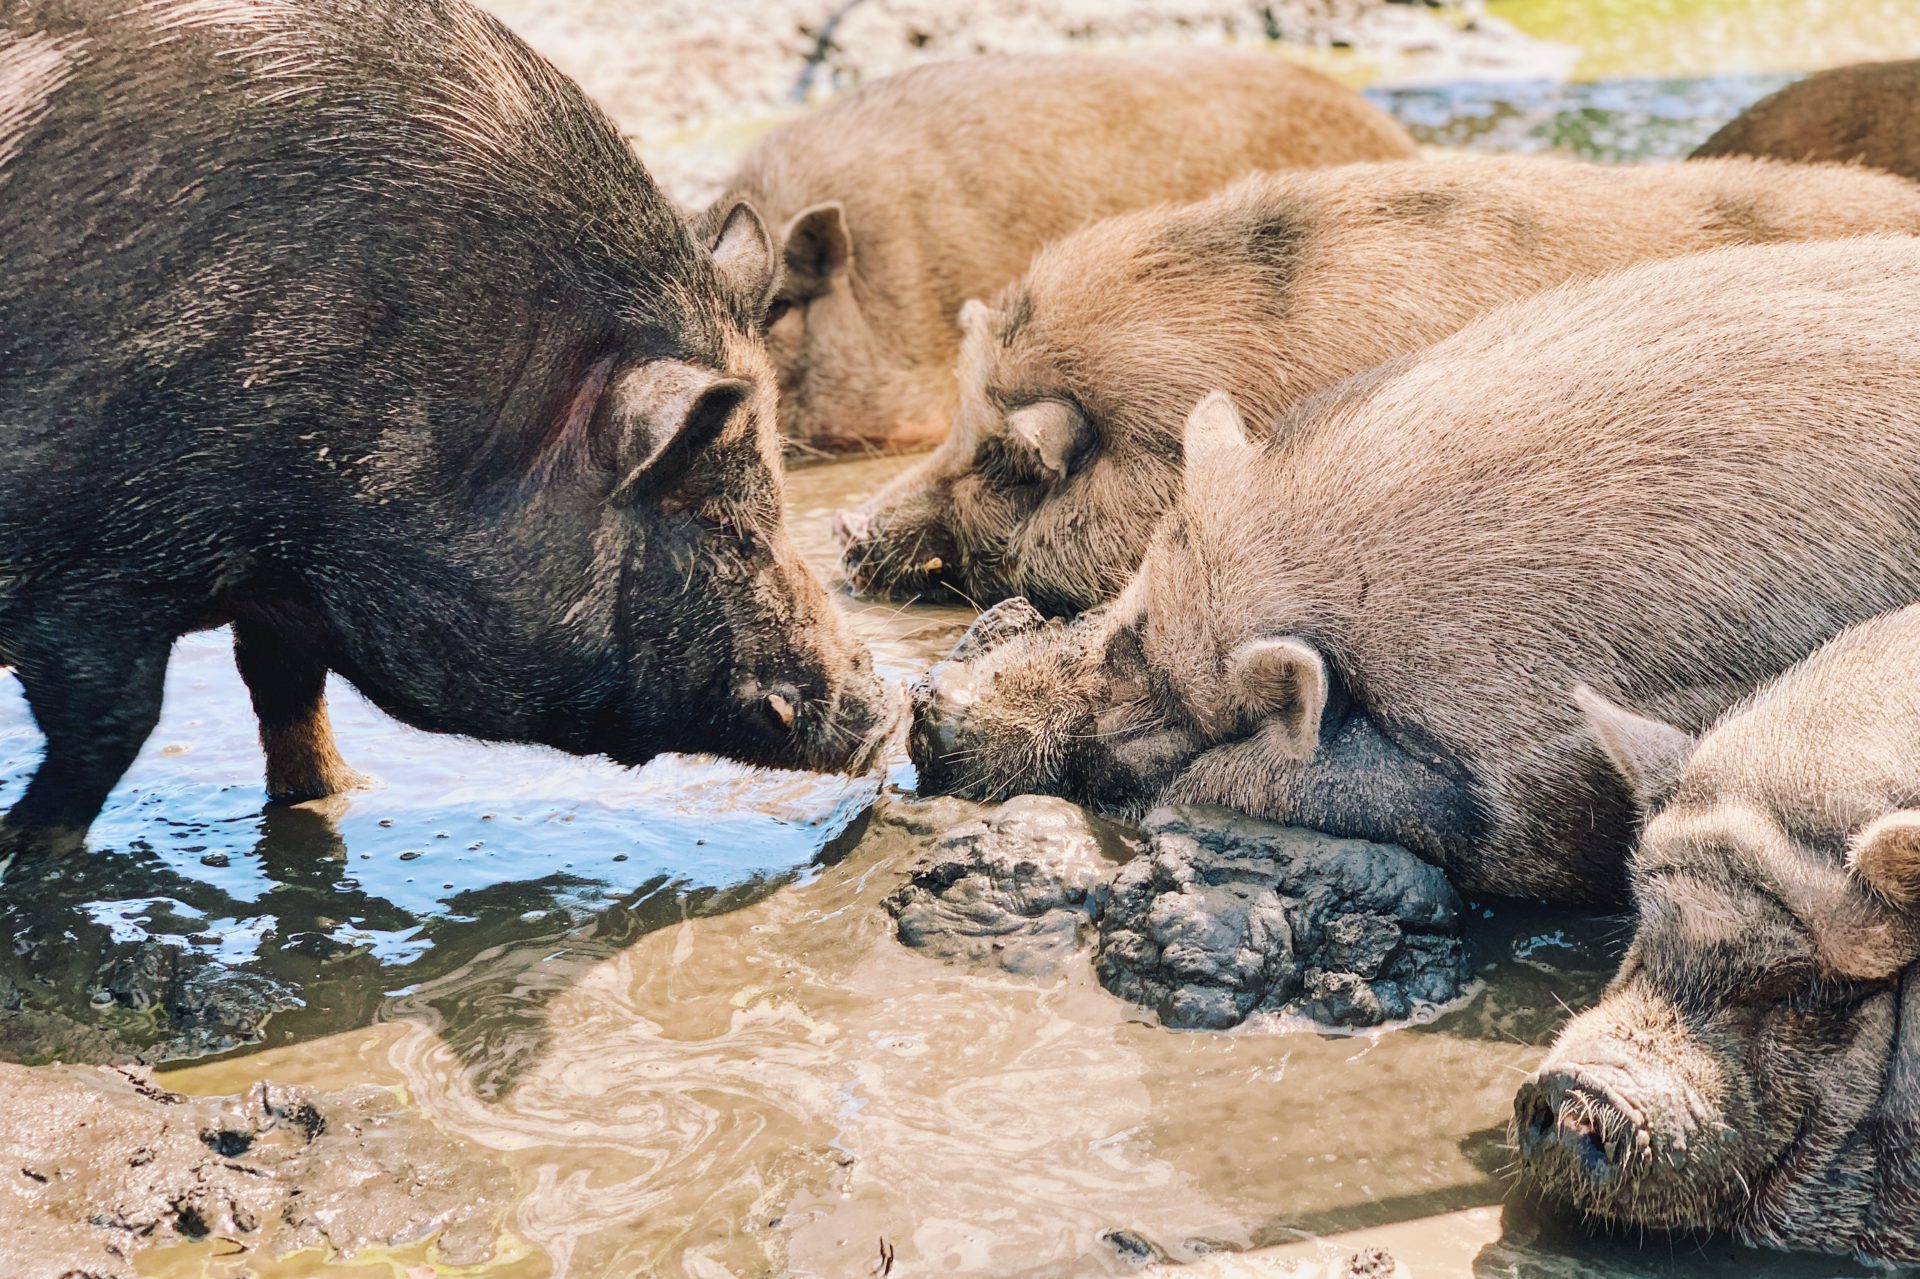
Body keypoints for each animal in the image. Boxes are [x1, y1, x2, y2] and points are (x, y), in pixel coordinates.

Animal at [0, 0, 891, 854]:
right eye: (711, 512)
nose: (885, 707)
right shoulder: (89, 577)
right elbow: (115, 726)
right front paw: (26, 846)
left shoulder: (276, 584)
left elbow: (288, 696)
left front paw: (340, 796)